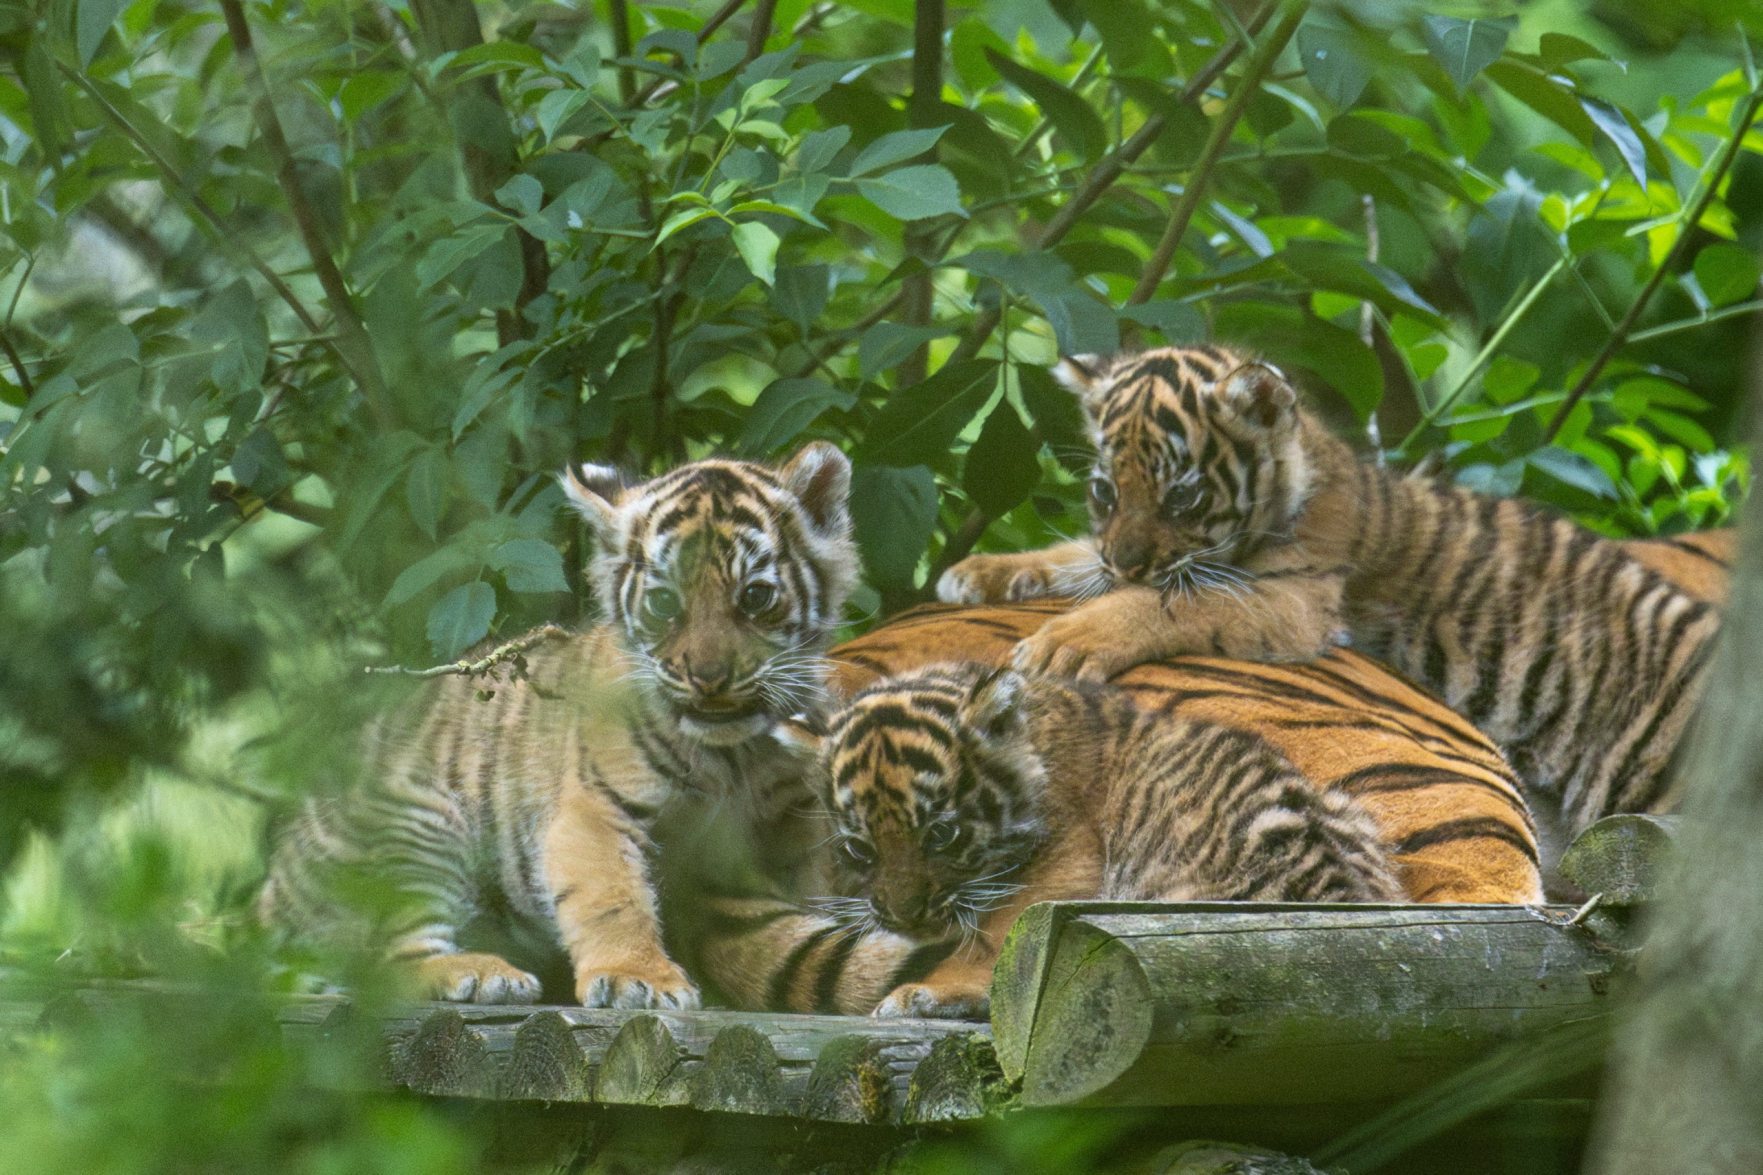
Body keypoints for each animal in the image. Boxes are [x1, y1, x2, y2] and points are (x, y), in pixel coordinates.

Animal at [259, 443, 904, 1009]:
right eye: (665, 603)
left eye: (756, 596)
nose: (708, 678)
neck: (735, 754)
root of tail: (268, 902)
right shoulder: (597, 804)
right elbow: (611, 895)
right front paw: (637, 979)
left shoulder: (793, 821)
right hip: (417, 824)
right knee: (384, 961)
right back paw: (481, 973)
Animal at [799, 662, 1403, 1020]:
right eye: (861, 849)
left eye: (940, 833)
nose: (904, 916)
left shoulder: (1067, 864)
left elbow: (1002, 939)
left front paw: (921, 991)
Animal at [937, 346, 1723, 877]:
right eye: (1105, 490)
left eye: (1182, 496)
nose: (1126, 560)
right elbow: (1079, 556)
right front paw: (979, 573)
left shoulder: (1294, 600)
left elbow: (1166, 602)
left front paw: (1065, 643)